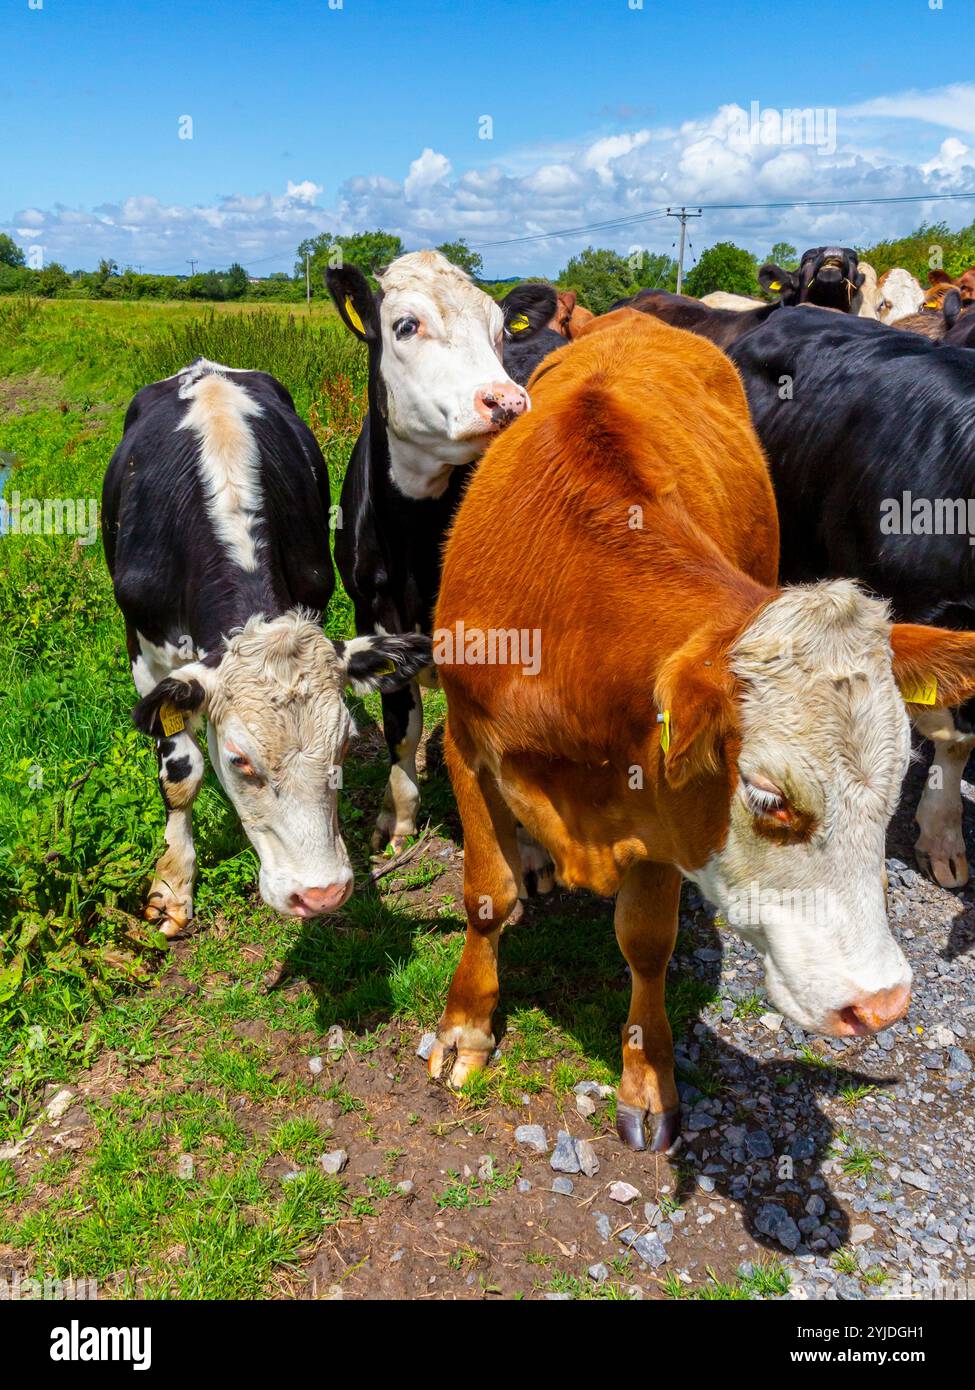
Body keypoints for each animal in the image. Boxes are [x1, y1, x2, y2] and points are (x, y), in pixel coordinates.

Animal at [102, 358, 431, 935]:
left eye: (345, 744)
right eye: (239, 760)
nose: (321, 894)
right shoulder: (146, 654)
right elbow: (181, 773)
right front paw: (173, 884)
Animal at [325, 251, 558, 852]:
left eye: (500, 331)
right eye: (406, 325)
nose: (507, 401)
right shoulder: (373, 612)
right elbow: (399, 725)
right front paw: (399, 816)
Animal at [427, 308, 975, 1154]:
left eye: (890, 793)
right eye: (767, 796)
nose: (882, 1004)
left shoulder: (660, 804)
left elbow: (646, 941)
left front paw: (647, 1077)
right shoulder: (464, 741)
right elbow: (486, 895)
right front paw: (466, 1025)